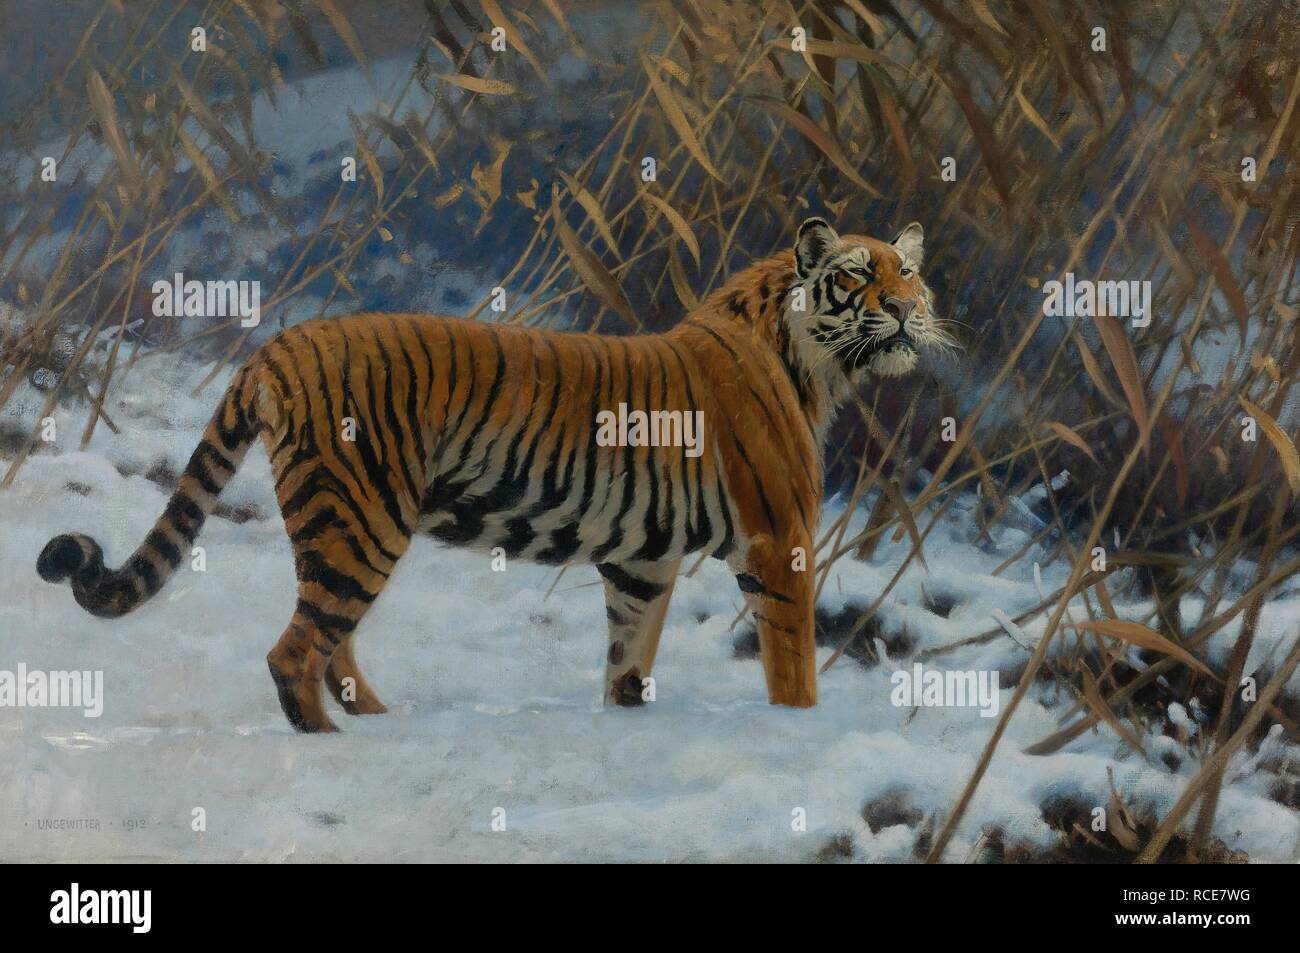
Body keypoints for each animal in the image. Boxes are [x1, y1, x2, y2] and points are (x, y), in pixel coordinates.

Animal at [36, 217, 952, 732]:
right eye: (861, 274)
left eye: (911, 271)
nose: (909, 309)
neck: (817, 363)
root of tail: (279, 342)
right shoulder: (778, 539)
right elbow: (792, 664)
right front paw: (798, 728)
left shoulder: (642, 561)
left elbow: (629, 655)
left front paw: (627, 722)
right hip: (364, 518)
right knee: (294, 650)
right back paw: (334, 743)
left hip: (338, 523)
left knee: (329, 640)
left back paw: (377, 721)